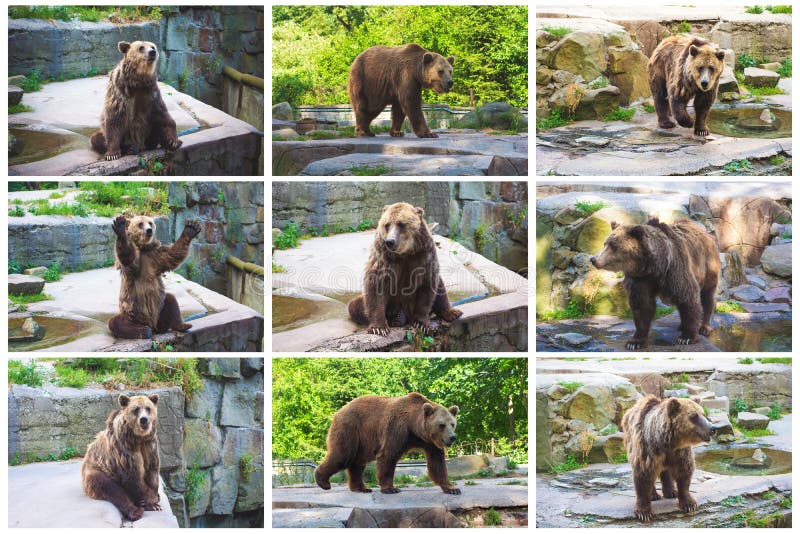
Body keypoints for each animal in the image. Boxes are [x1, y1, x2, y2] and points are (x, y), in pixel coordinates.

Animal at [314, 392, 461, 494]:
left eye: (452, 424)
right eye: (441, 425)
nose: (452, 437)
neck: (414, 428)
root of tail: (340, 410)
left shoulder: (429, 442)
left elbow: (437, 463)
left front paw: (452, 488)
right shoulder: (397, 429)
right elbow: (388, 455)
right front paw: (390, 488)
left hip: (363, 440)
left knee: (358, 462)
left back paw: (361, 488)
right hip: (350, 428)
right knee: (342, 455)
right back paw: (323, 482)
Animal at [347, 202, 462, 335]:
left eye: (401, 224)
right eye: (387, 225)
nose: (390, 241)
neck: (405, 252)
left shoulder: (424, 255)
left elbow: (427, 285)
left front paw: (421, 323)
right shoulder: (384, 257)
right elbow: (376, 285)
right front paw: (379, 328)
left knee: (440, 286)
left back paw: (452, 313)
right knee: (355, 306)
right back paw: (397, 318)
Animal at [590, 217, 720, 350]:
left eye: (613, 245)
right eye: (605, 243)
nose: (594, 259)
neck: (654, 268)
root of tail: (706, 232)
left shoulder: (675, 271)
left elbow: (688, 297)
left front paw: (687, 337)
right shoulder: (641, 280)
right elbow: (642, 306)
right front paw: (635, 342)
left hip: (707, 265)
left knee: (707, 296)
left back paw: (704, 327)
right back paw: (681, 325)